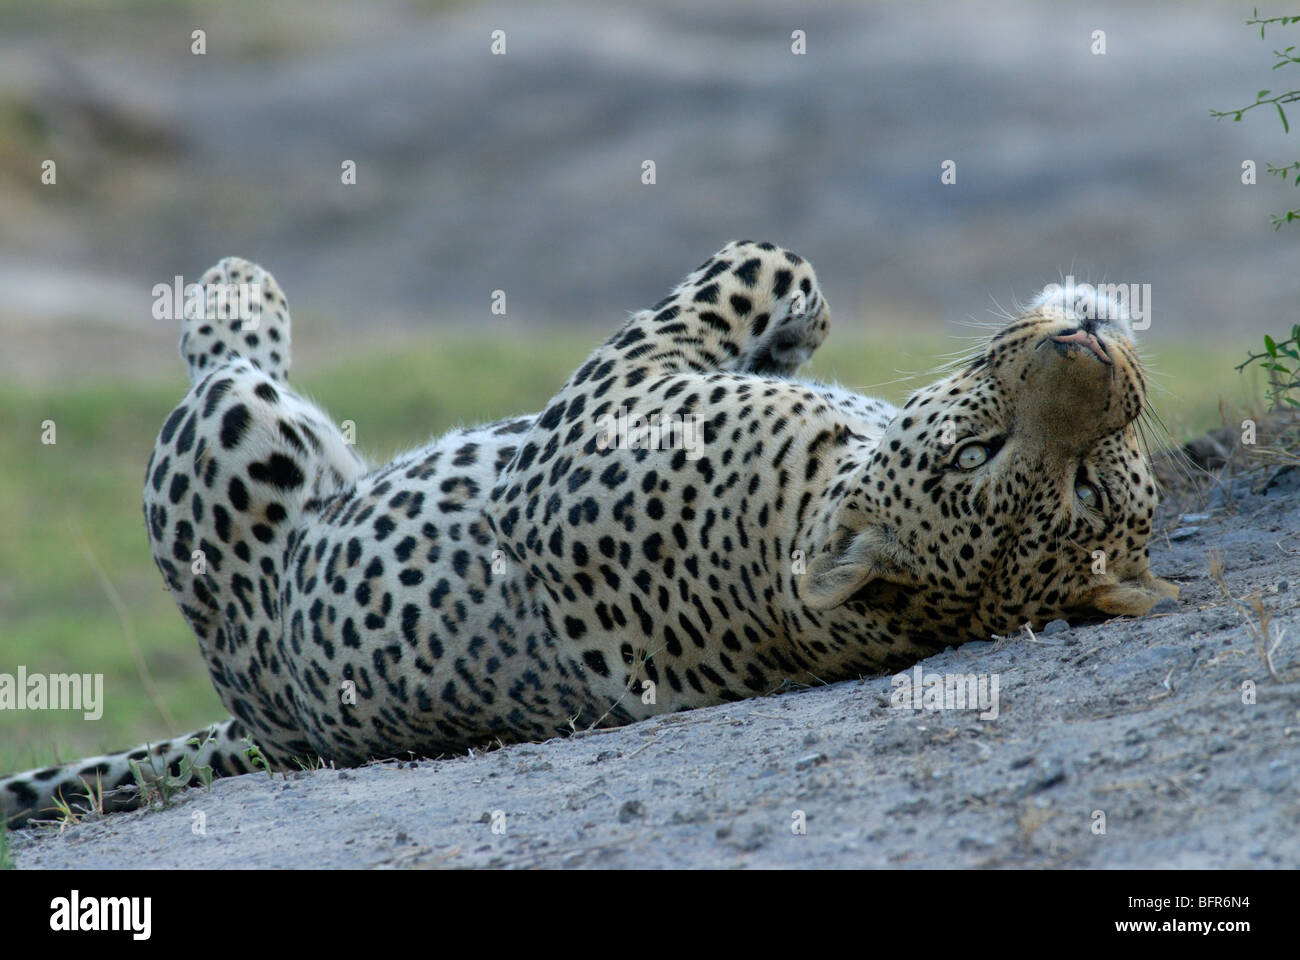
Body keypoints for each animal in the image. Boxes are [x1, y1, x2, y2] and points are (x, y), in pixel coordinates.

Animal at [1, 240, 1175, 827]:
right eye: (982, 456)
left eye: (1074, 477)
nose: (1084, 338)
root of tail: (269, 728)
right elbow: (778, 284)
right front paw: (795, 337)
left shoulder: (614, 395)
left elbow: (762, 261)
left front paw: (788, 313)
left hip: (233, 446)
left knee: (228, 367)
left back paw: (236, 287)